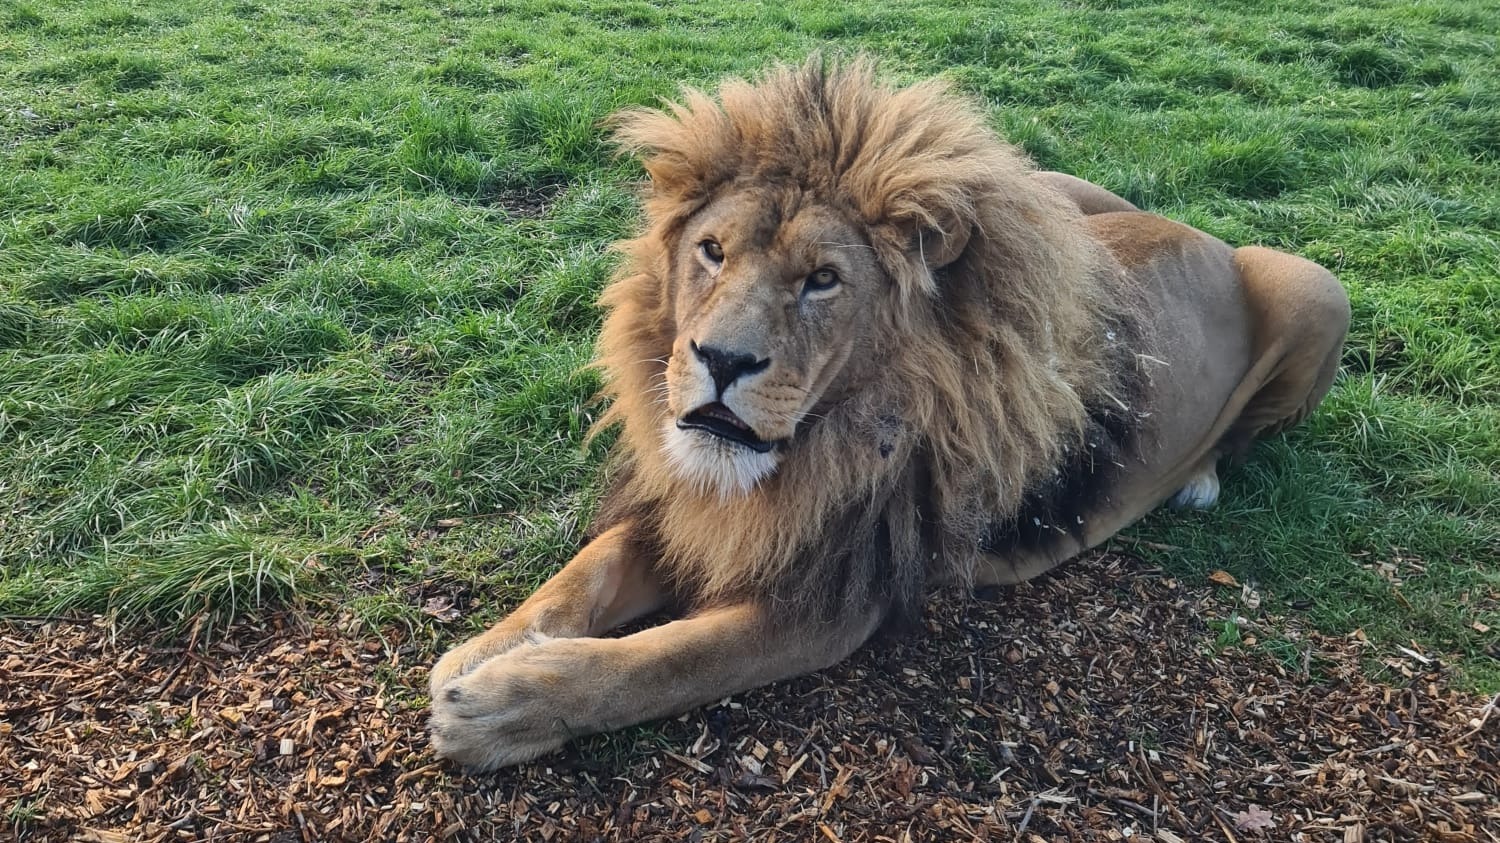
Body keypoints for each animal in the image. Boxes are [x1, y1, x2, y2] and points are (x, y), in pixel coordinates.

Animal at [427, 60, 1350, 770]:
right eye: (712, 252)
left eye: (822, 280)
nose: (721, 360)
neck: (816, 449)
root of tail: (1204, 234)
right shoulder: (695, 511)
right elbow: (583, 573)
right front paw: (481, 652)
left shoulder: (837, 598)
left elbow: (667, 659)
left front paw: (503, 706)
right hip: (1052, 194)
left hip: (1315, 285)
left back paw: (1200, 480)